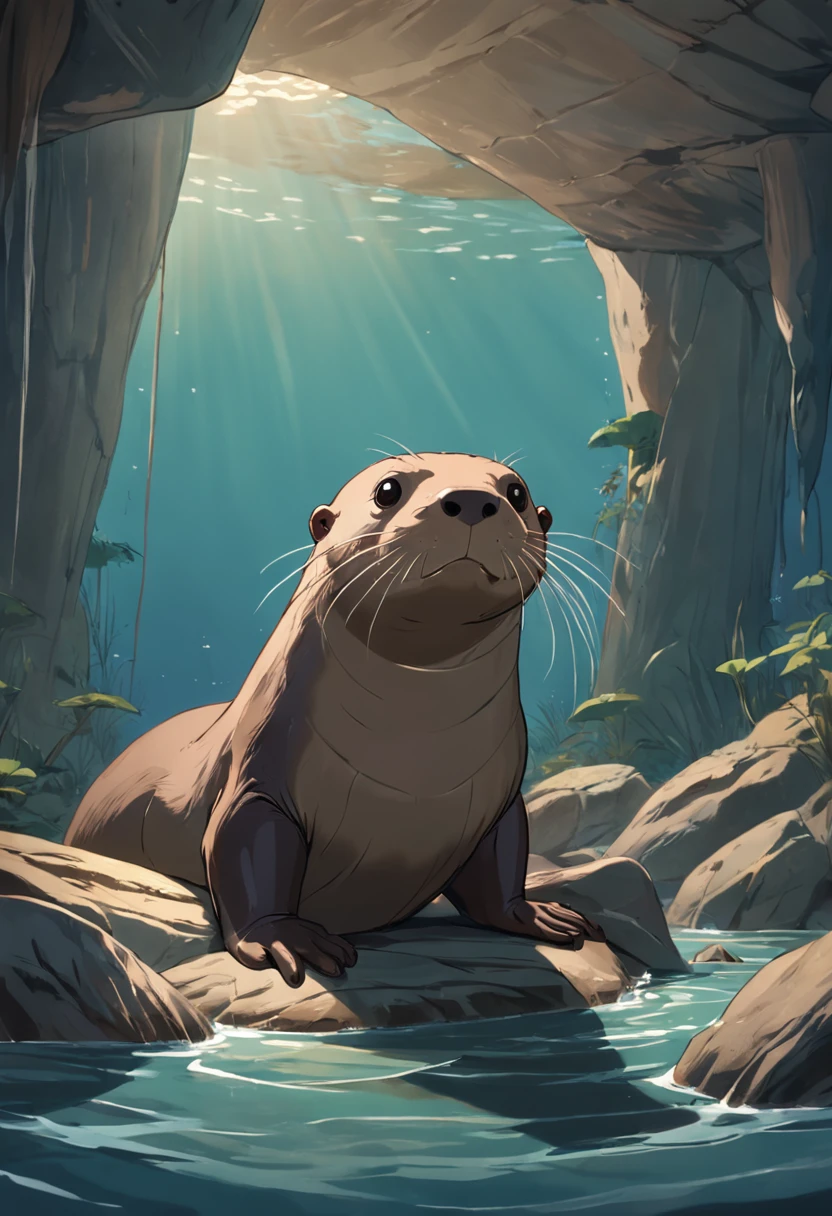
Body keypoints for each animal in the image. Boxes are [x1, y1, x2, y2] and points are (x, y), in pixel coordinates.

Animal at [65, 453, 603, 986]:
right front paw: (282, 938)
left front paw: (533, 914)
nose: (472, 500)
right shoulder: (257, 774)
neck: (413, 765)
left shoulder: (501, 794)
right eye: (388, 489)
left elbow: (503, 859)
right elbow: (247, 847)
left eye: (517, 493)